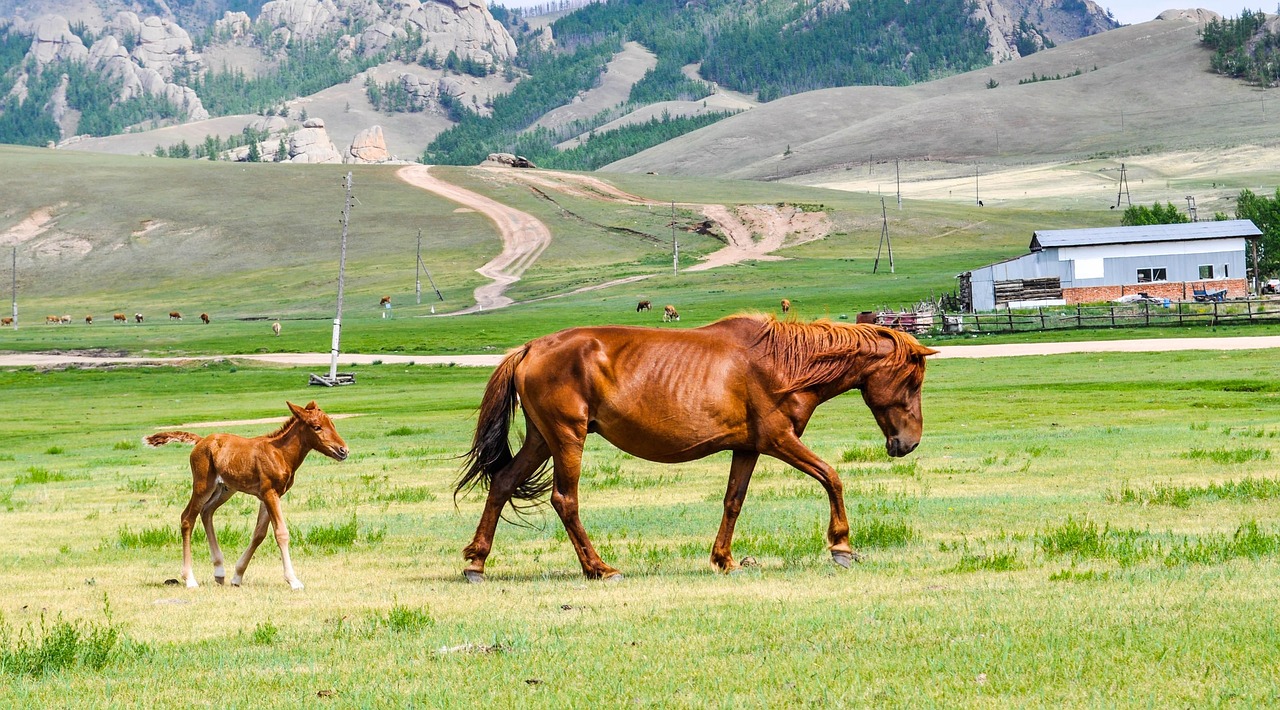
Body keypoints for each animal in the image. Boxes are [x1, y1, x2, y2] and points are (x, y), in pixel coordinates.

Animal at [145, 401, 349, 590]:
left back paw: (219, 572)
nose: (343, 450)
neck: (280, 453)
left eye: (332, 423)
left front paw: (237, 577)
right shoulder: (269, 493)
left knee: (207, 512)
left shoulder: (270, 495)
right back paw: (190, 579)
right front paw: (293, 581)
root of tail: (201, 440)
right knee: (187, 518)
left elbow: (259, 534)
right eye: (316, 427)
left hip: (225, 489)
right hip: (203, 485)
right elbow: (281, 533)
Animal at [456, 314, 937, 582]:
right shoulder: (780, 440)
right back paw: (599, 568)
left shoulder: (749, 447)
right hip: (567, 438)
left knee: (502, 484)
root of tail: (531, 348)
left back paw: (476, 563)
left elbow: (733, 501)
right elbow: (832, 477)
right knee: (564, 499)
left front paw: (724, 560)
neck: (783, 363)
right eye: (912, 381)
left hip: (541, 439)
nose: (908, 443)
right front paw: (841, 547)